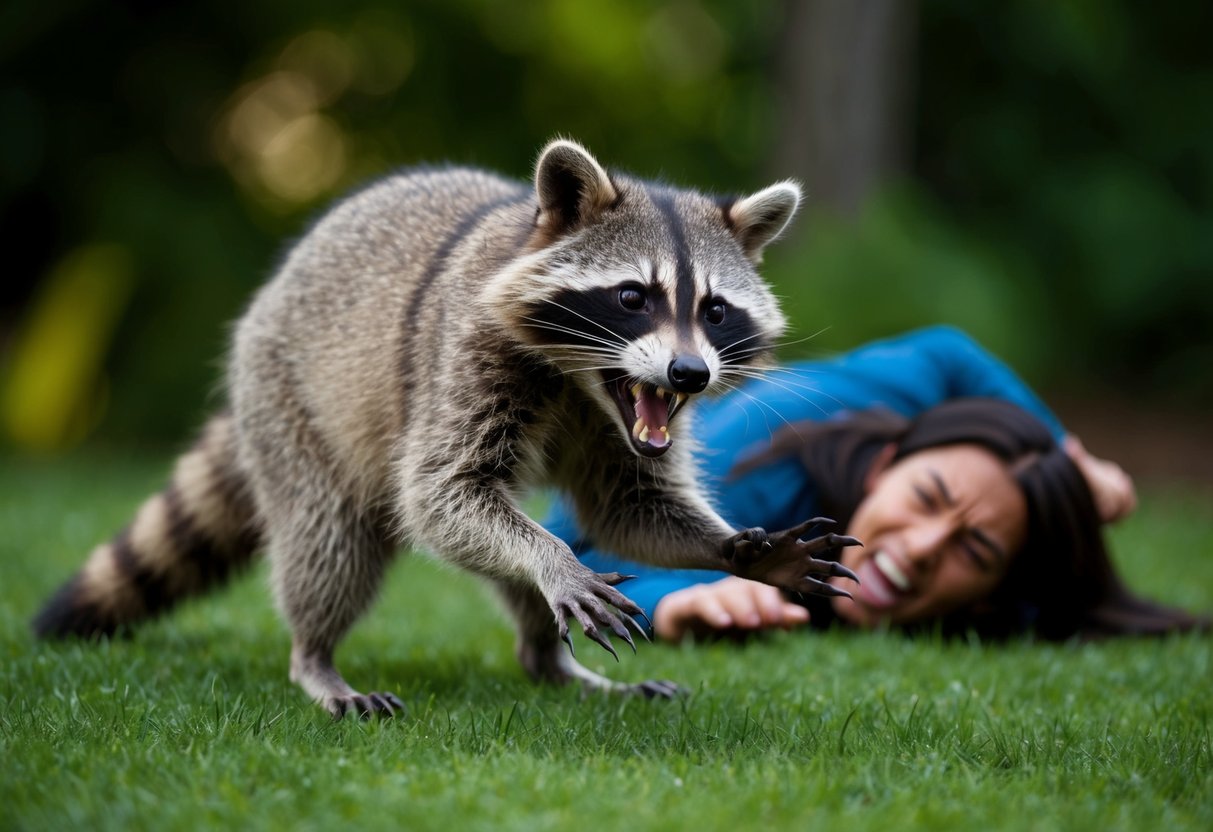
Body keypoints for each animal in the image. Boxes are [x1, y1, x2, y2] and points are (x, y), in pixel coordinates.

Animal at [34, 139, 858, 717]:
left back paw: (549, 661)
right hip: (286, 396)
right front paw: (558, 563)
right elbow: (437, 497)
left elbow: (626, 508)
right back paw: (317, 655)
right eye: (633, 297)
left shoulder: (624, 430)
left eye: (714, 310)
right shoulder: (462, 355)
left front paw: (737, 549)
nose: (688, 375)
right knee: (331, 541)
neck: (585, 385)